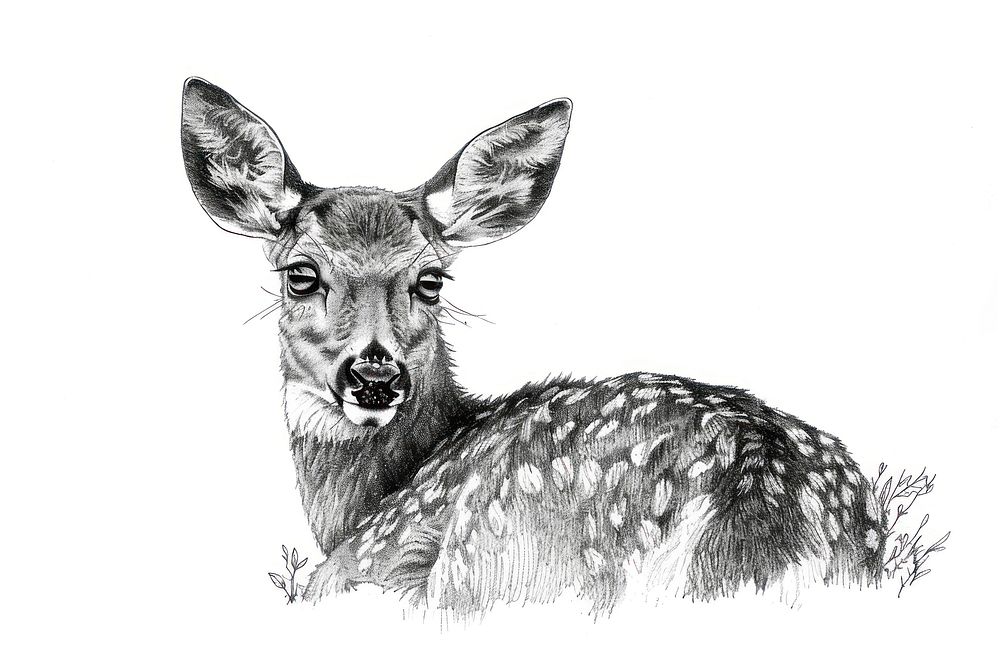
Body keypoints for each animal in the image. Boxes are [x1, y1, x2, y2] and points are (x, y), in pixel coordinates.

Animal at [180, 77, 887, 611]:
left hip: (500, 570)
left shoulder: (370, 568)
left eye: (430, 281)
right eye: (300, 275)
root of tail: (762, 503)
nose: (377, 378)